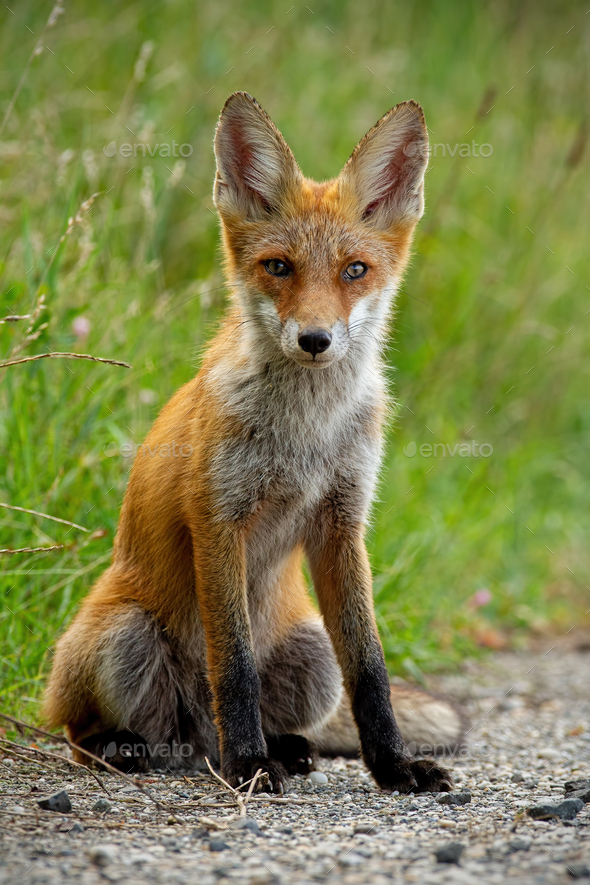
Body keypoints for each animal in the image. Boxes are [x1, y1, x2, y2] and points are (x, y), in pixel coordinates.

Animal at [43, 92, 466, 794]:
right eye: (278, 267)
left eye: (355, 271)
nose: (315, 340)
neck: (305, 435)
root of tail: (196, 741)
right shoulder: (219, 518)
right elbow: (233, 665)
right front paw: (249, 766)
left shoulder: (343, 523)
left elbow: (372, 671)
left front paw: (392, 765)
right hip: (125, 636)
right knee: (84, 730)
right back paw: (148, 749)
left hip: (313, 655)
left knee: (300, 706)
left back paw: (287, 749)